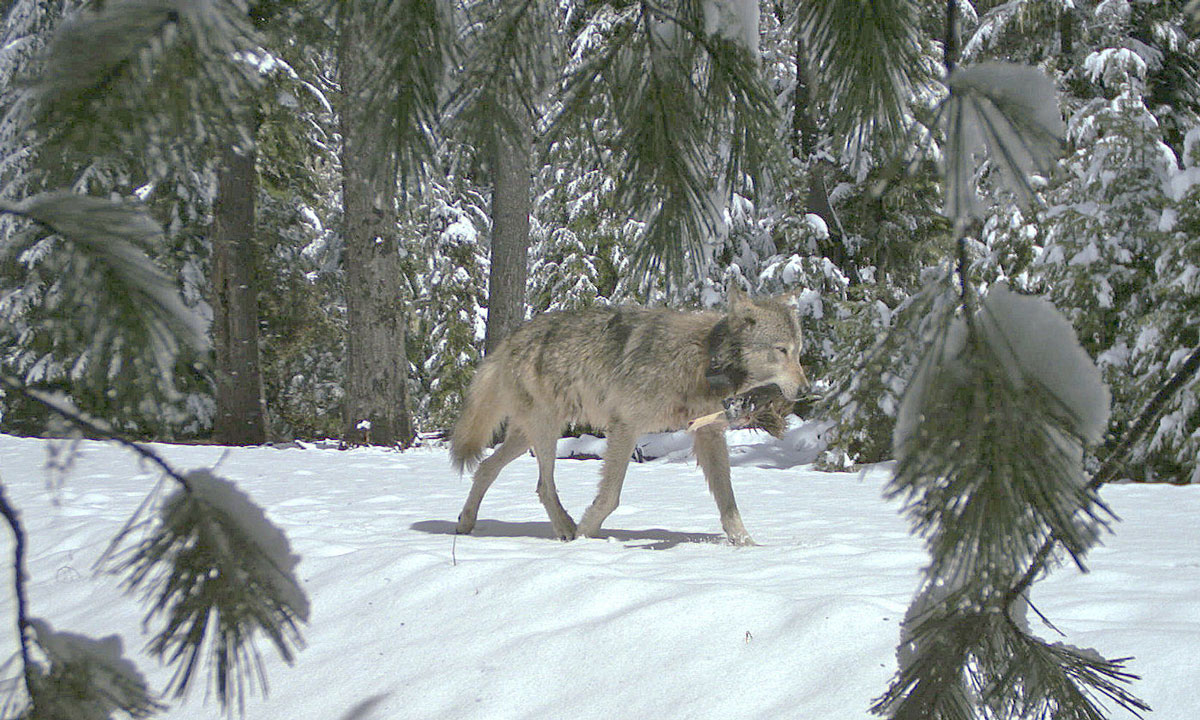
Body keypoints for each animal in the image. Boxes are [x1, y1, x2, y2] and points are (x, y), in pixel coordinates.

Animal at [449, 289, 808, 546]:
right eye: (782, 350)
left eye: (799, 351)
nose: (806, 390)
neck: (703, 360)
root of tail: (509, 339)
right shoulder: (624, 427)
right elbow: (610, 497)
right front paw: (585, 534)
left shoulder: (709, 435)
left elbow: (728, 503)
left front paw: (747, 545)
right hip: (546, 431)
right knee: (542, 485)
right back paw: (566, 529)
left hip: (527, 437)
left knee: (486, 468)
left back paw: (466, 523)